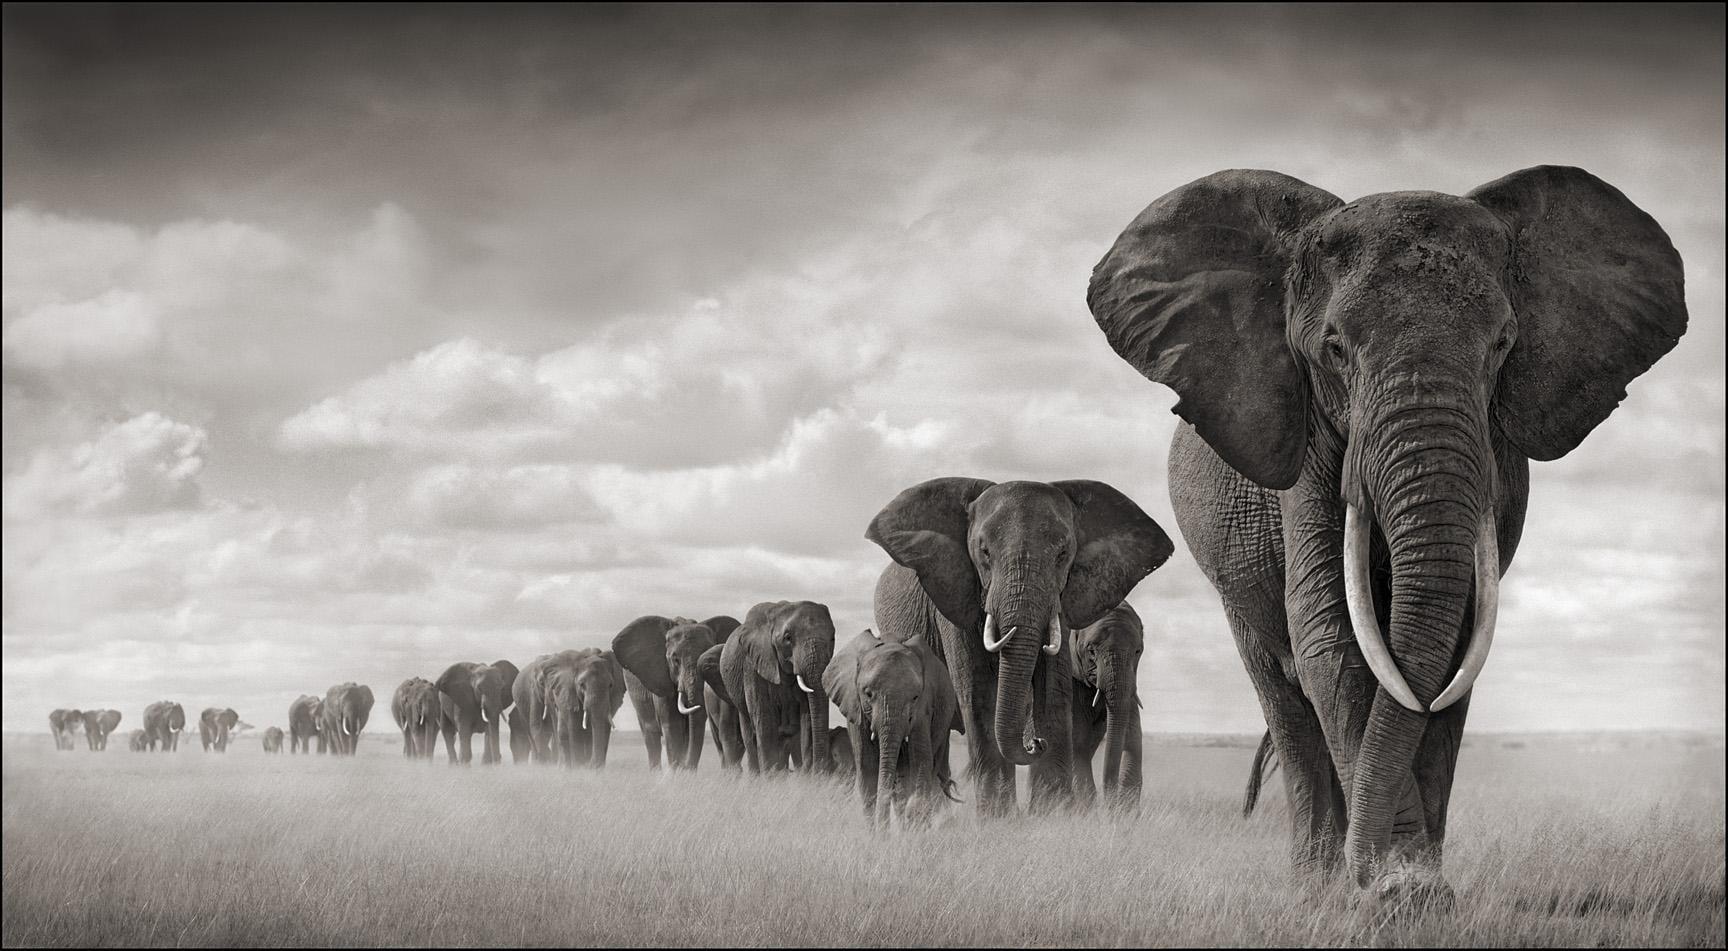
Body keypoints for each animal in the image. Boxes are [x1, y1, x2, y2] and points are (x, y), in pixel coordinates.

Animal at [612, 615, 740, 771]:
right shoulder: (661, 679)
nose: (687, 768)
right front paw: (677, 773)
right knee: (651, 737)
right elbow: (672, 727)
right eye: (676, 660)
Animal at [717, 600, 837, 775]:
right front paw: (770, 779)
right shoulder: (753, 665)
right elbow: (764, 719)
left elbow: (807, 718)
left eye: (833, 638)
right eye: (788, 638)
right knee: (750, 735)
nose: (819, 773)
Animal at [823, 627, 963, 827]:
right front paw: (876, 832)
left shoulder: (924, 706)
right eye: (868, 694)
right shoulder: (855, 706)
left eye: (915, 697)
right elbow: (868, 768)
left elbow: (920, 762)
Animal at [1068, 602, 1146, 811]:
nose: (1108, 804)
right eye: (1091, 651)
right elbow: (1077, 745)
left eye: (1138, 651)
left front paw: (1122, 815)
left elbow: (1133, 741)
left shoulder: (1130, 685)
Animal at [1087, 166, 1687, 901]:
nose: (1375, 874)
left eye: (1503, 344)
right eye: (1335, 347)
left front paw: (1413, 889)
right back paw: (1315, 882)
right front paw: (1395, 893)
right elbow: (1332, 638)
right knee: (1284, 695)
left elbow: (1456, 646)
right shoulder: (1308, 440)